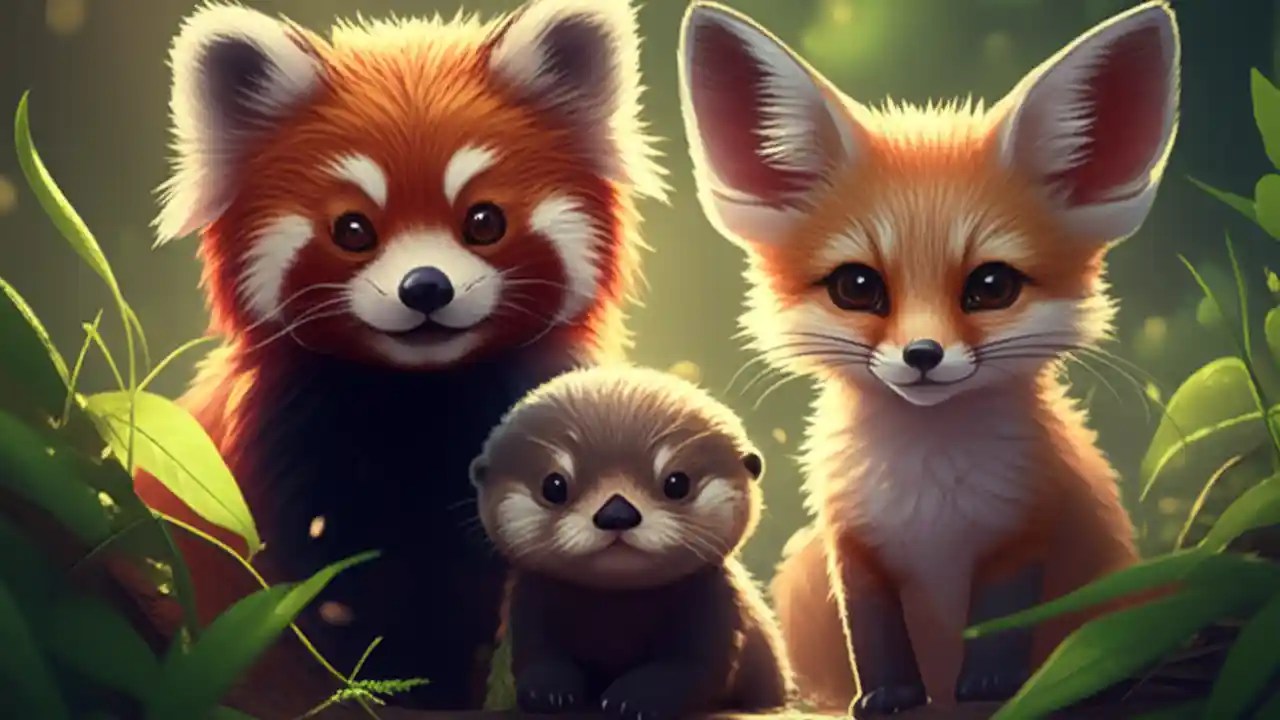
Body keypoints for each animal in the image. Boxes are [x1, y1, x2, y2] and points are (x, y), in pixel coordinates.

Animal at [135, 0, 663, 715]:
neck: (421, 399)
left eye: (484, 221)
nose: (426, 287)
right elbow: (328, 597)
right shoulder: (287, 458)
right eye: (353, 229)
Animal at [470, 364, 794, 719]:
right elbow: (538, 655)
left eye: (677, 483)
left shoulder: (719, 605)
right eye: (554, 486)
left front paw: (638, 699)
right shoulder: (528, 601)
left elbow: (692, 669)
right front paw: (548, 690)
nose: (617, 514)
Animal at [678, 1, 1179, 716]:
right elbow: (874, 633)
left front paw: (994, 687)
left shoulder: (1023, 532)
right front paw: (887, 695)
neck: (930, 497)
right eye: (857, 286)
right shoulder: (851, 547)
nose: (922, 354)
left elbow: (1000, 623)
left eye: (991, 285)